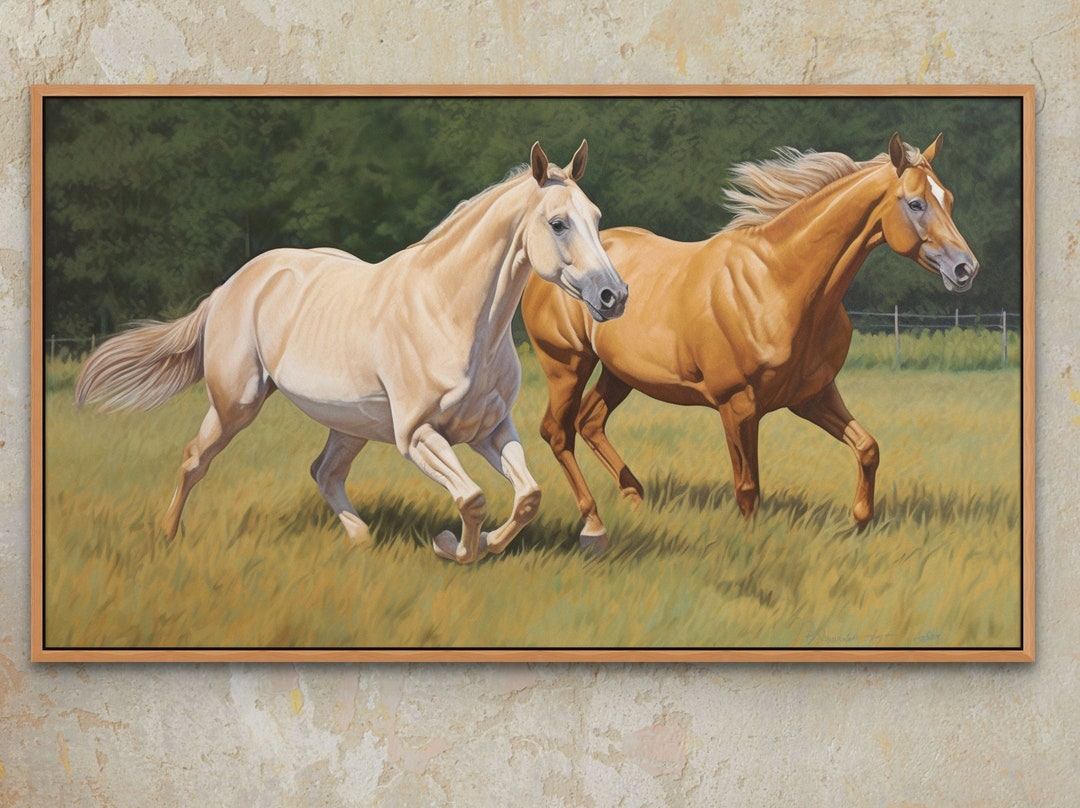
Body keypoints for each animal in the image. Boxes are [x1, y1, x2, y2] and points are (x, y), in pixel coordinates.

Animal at [75, 141, 629, 564]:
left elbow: (528, 495)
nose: (614, 296)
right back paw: (168, 534)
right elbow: (471, 499)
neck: (450, 313)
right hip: (236, 405)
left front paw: (488, 543)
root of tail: (233, 284)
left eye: (597, 217)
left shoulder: (488, 429)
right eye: (558, 223)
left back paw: (361, 541)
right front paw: (451, 547)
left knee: (325, 472)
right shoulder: (418, 436)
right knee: (195, 460)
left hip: (350, 424)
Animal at [522, 133, 978, 551]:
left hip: (621, 374)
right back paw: (593, 521)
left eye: (949, 198)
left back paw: (635, 496)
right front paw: (750, 548)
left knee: (590, 421)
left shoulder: (812, 395)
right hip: (567, 365)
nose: (966, 269)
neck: (777, 283)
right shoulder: (737, 406)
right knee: (557, 431)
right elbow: (748, 489)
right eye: (916, 203)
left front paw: (860, 520)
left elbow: (867, 447)